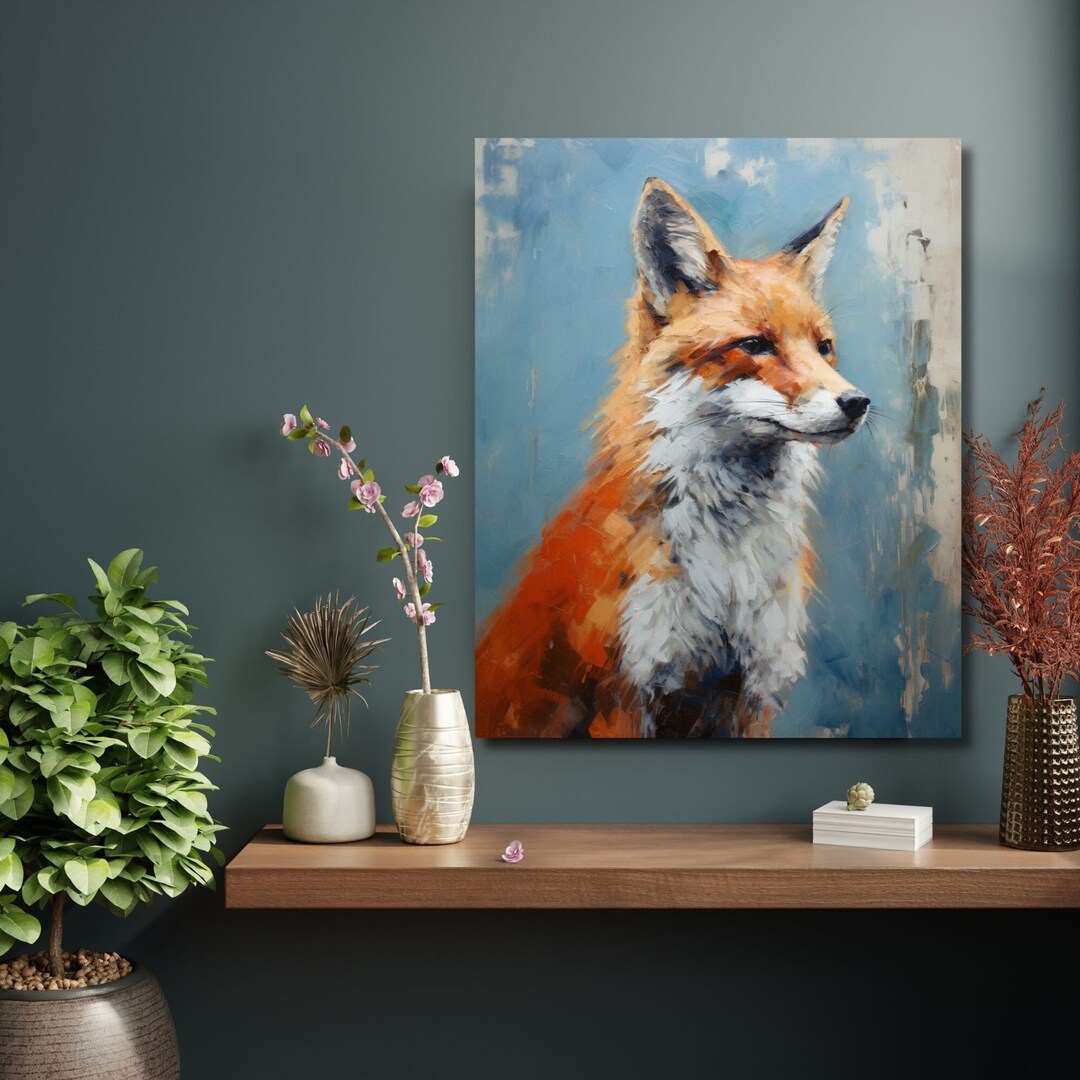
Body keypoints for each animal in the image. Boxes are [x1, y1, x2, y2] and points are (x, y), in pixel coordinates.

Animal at [475, 177, 869, 738]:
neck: (728, 569)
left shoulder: (749, 691)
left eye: (824, 347)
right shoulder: (625, 693)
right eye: (755, 344)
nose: (857, 403)